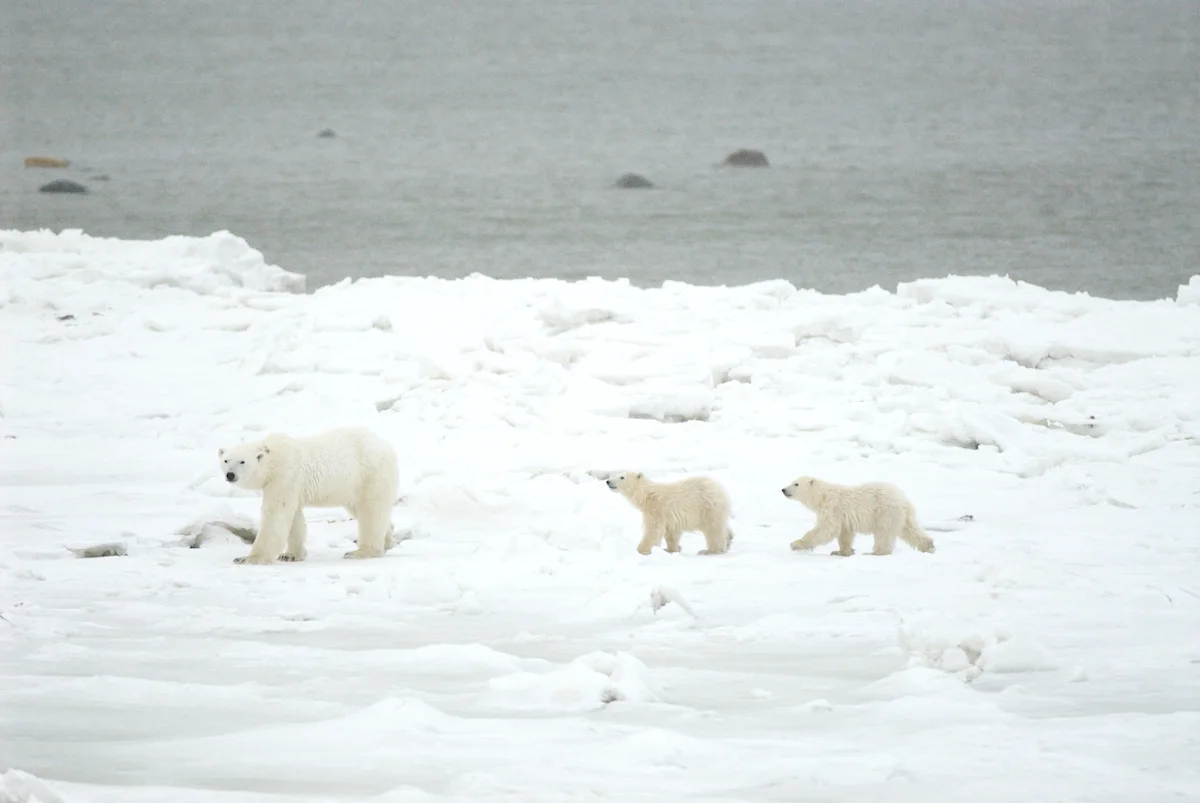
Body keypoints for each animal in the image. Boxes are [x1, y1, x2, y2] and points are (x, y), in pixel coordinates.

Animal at [218, 426, 399, 564]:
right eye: (226, 460)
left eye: (242, 461)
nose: (230, 475)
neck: (273, 457)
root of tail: (387, 446)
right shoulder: (291, 485)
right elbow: (294, 516)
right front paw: (290, 555)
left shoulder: (284, 475)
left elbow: (276, 513)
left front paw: (247, 558)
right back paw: (387, 541)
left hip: (369, 474)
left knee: (371, 510)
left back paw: (362, 552)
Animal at [782, 476, 935, 557]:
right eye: (792, 481)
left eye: (796, 483)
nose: (783, 489)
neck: (822, 496)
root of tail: (903, 499)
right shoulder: (843, 517)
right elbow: (845, 534)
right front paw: (841, 552)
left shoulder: (832, 508)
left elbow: (826, 530)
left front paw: (796, 544)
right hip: (901, 514)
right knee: (910, 529)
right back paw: (928, 546)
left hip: (885, 512)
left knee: (884, 534)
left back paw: (876, 553)